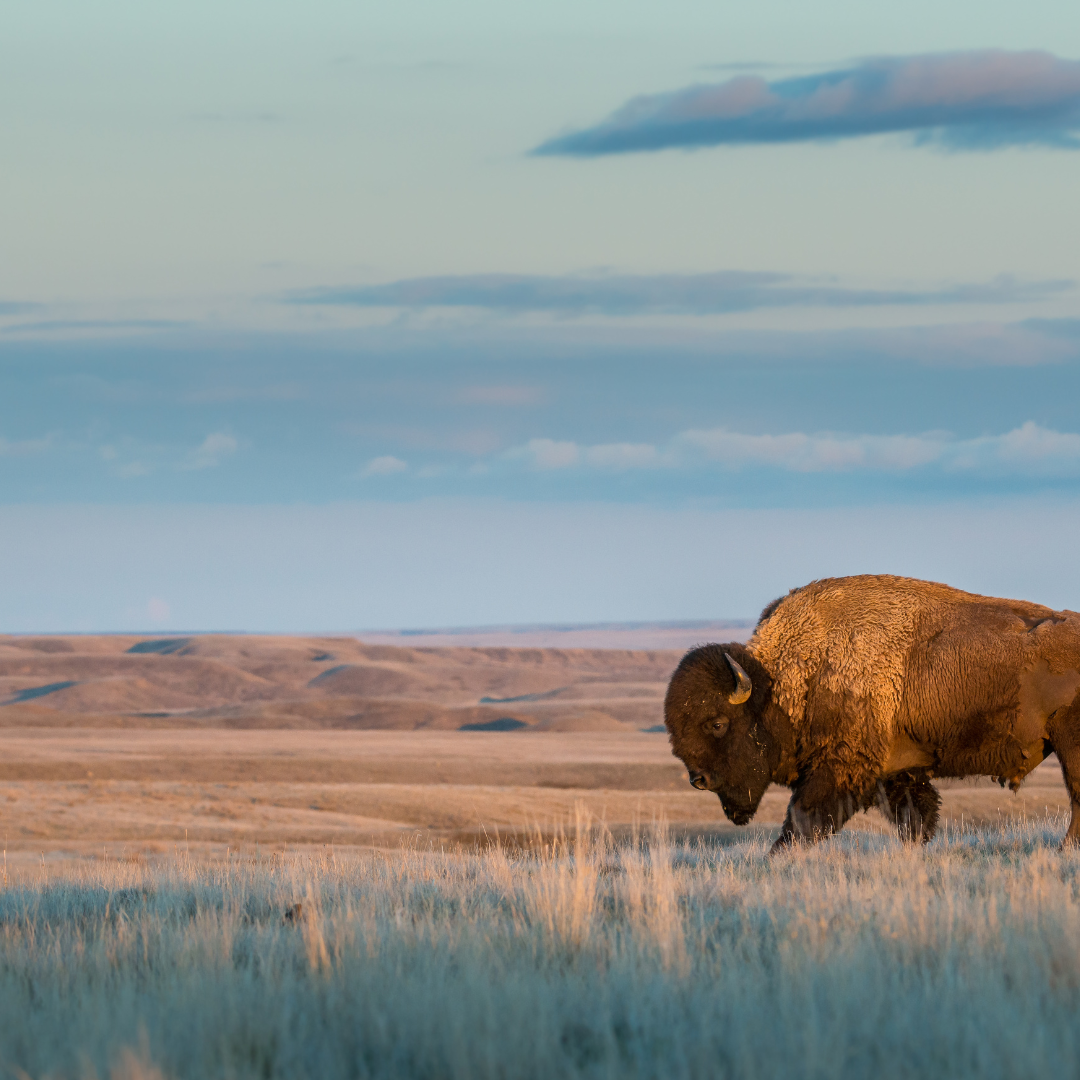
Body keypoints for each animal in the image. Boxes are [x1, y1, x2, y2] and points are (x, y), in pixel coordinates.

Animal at [664, 575, 1080, 850]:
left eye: (717, 723)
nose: (698, 779)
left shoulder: (839, 769)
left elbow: (801, 820)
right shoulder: (900, 770)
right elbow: (915, 821)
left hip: (1069, 744)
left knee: (1076, 796)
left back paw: (1065, 850)